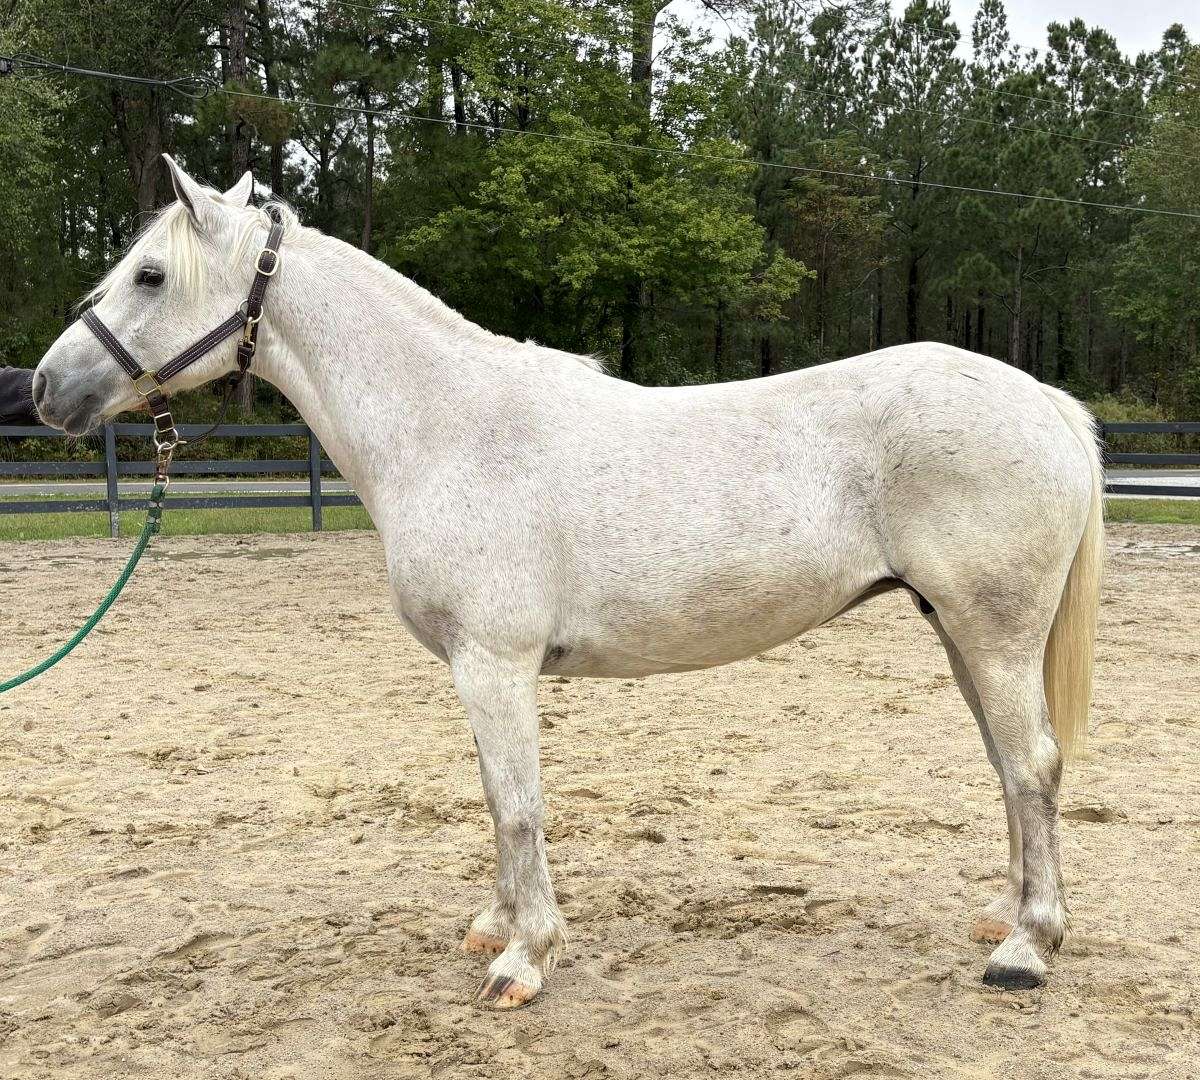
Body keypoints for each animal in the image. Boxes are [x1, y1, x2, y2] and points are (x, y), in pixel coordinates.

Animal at [31, 156, 1102, 1008]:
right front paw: (496, 927)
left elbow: (517, 805)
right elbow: (493, 799)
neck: (449, 427)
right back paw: (1002, 917)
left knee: (1034, 766)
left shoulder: (494, 665)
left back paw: (1026, 950)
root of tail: (1042, 400)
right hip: (960, 632)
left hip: (993, 632)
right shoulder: (474, 672)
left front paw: (525, 961)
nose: (43, 389)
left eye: (150, 274)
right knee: (1009, 771)